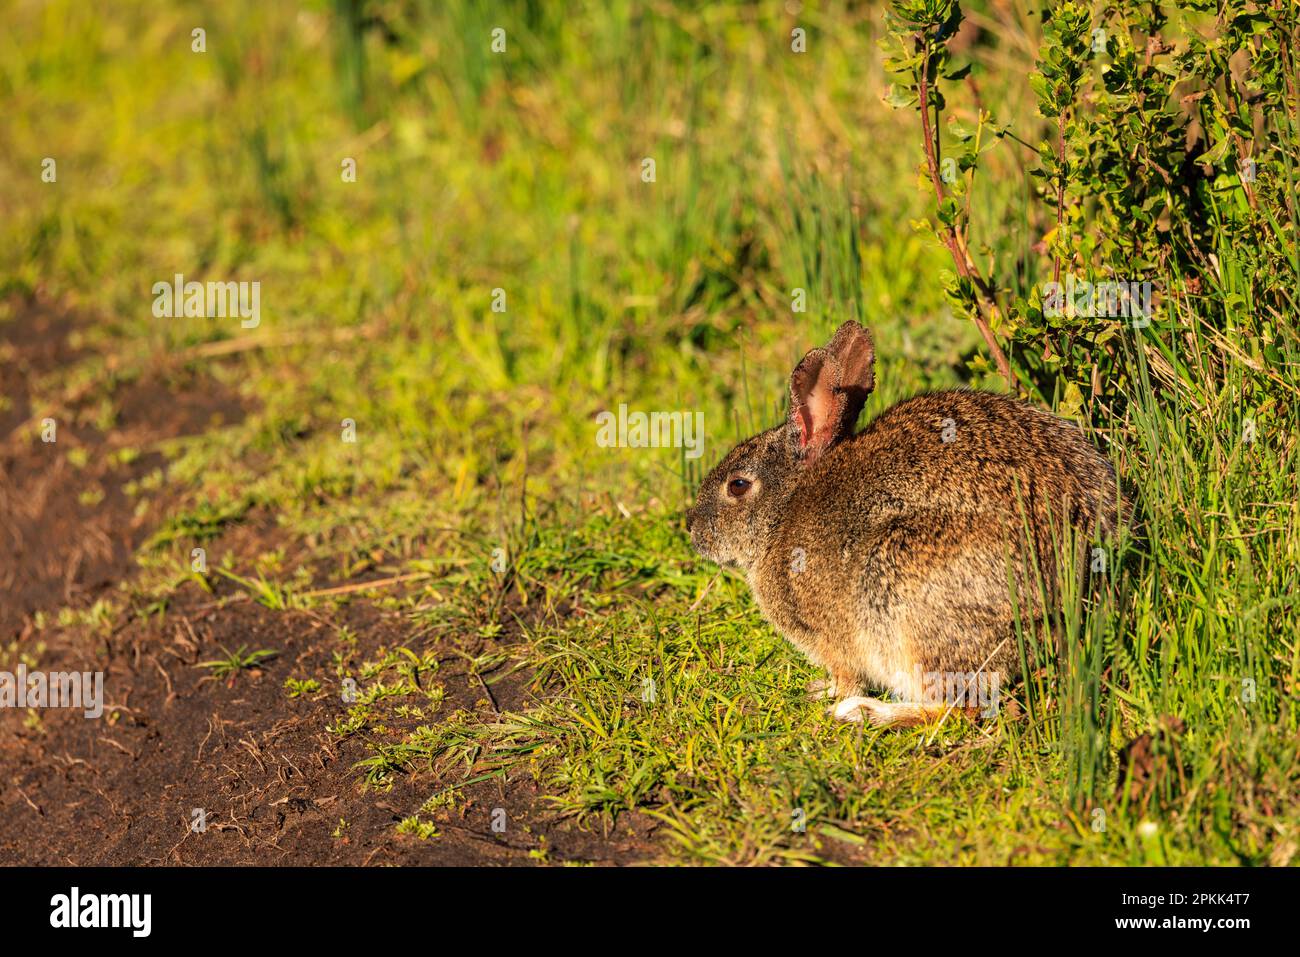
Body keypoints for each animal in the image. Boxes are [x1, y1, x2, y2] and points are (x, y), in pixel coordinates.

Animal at [686, 320, 1126, 727]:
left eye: (738, 485)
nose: (691, 528)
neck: (783, 510)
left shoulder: (832, 638)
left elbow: (846, 675)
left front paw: (832, 695)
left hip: (901, 592)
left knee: (955, 706)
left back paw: (867, 713)